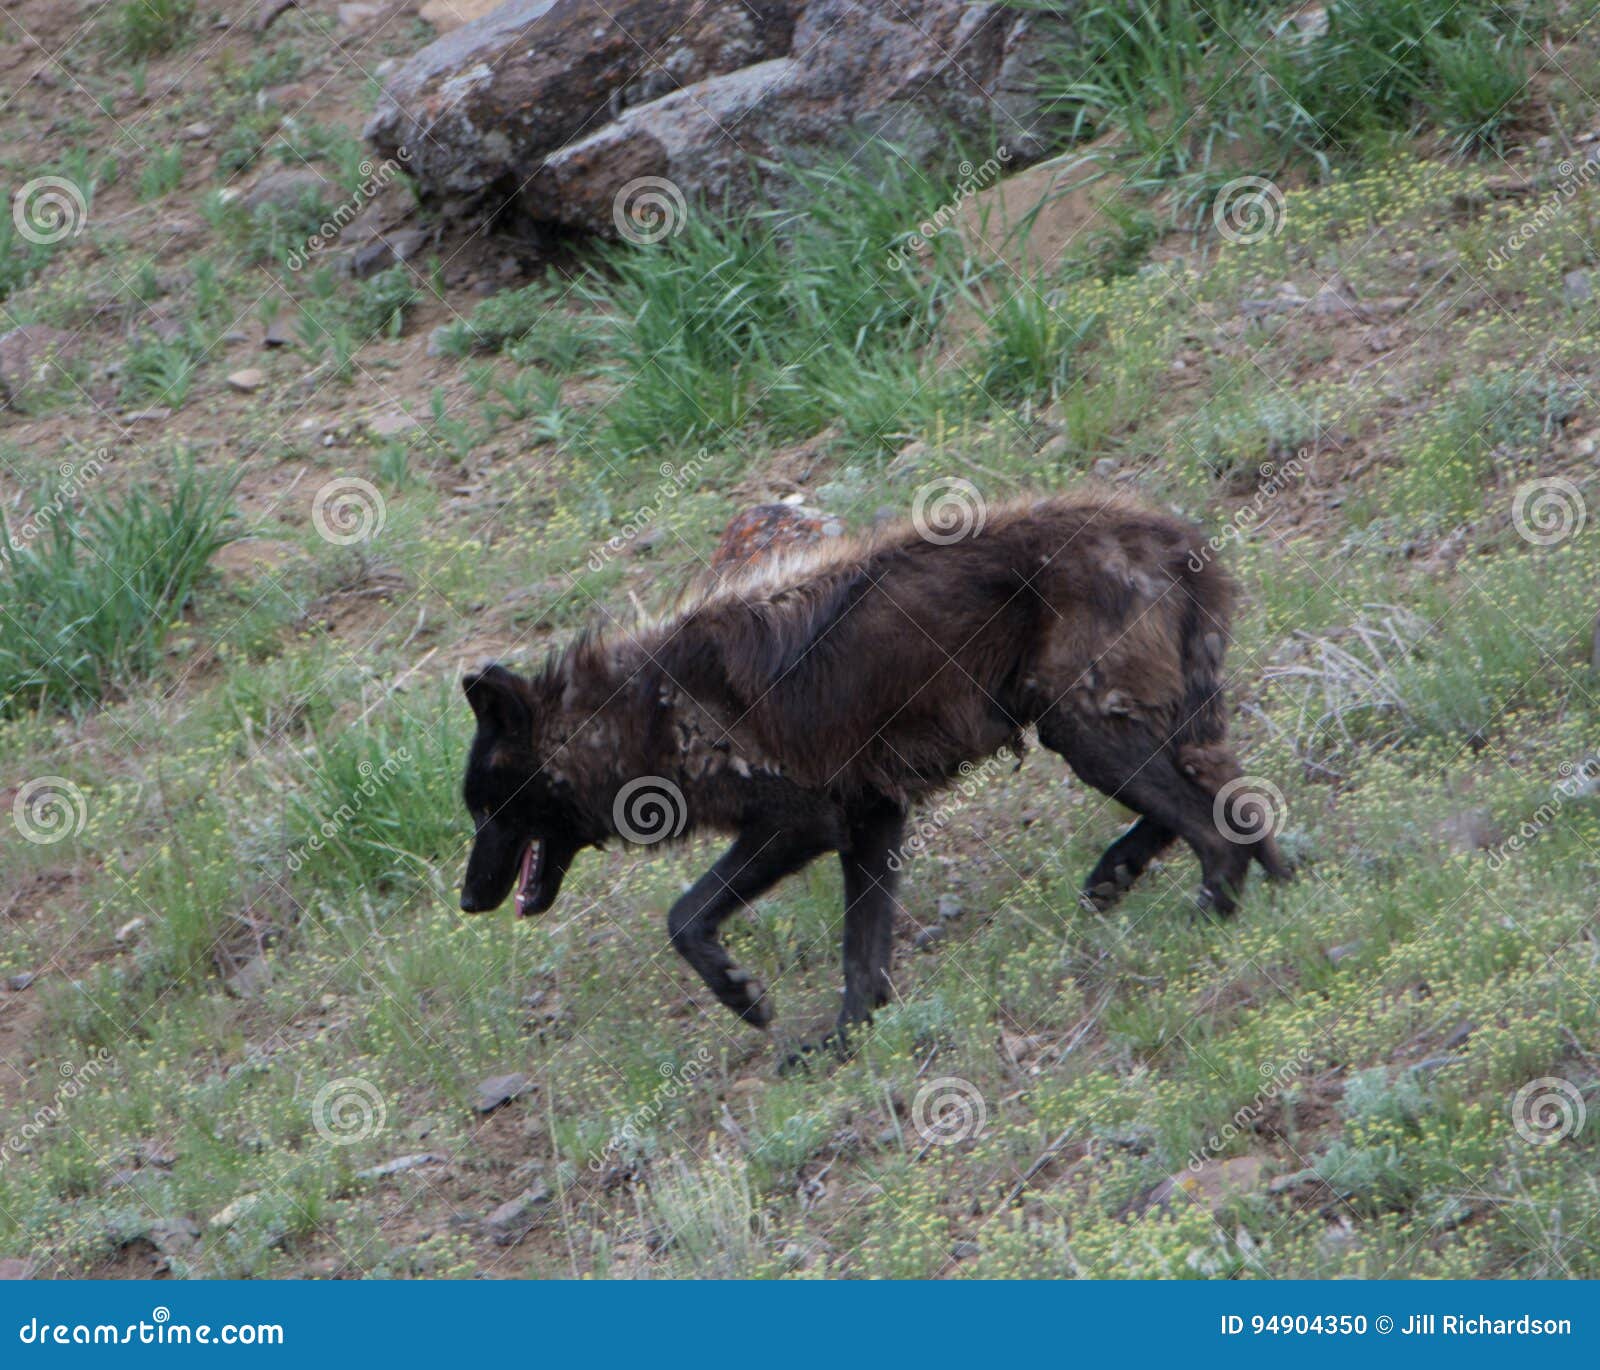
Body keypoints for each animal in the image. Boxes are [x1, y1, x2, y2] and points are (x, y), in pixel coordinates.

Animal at [458, 492, 1288, 1043]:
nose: (468, 902)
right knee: (1238, 808)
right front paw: (847, 1042)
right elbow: (863, 956)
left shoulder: (800, 824)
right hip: (1124, 728)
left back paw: (1200, 917)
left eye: (486, 810)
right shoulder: (871, 818)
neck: (640, 712)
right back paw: (1158, 875)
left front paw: (744, 998)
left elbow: (684, 916)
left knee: (1217, 830)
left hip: (1082, 732)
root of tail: (1170, 536)